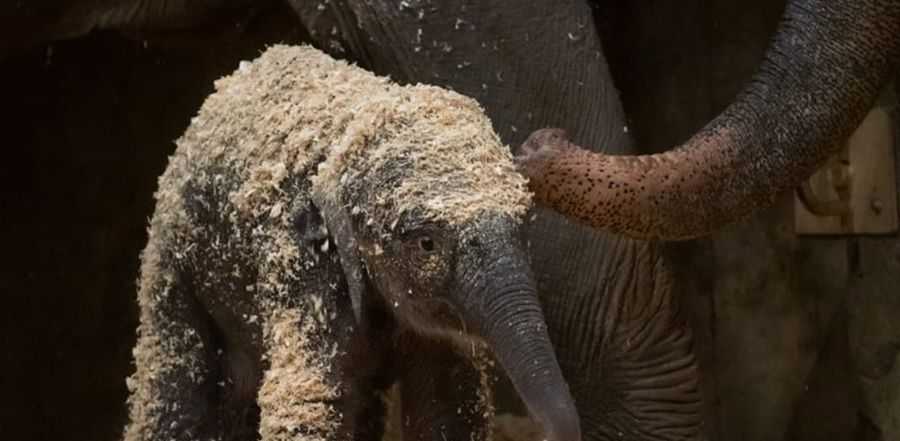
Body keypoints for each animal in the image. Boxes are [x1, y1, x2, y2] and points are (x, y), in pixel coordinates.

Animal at [124, 44, 578, 441]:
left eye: (523, 222)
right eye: (426, 244)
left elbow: (448, 404)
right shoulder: (303, 266)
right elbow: (307, 401)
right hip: (173, 257)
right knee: (175, 386)